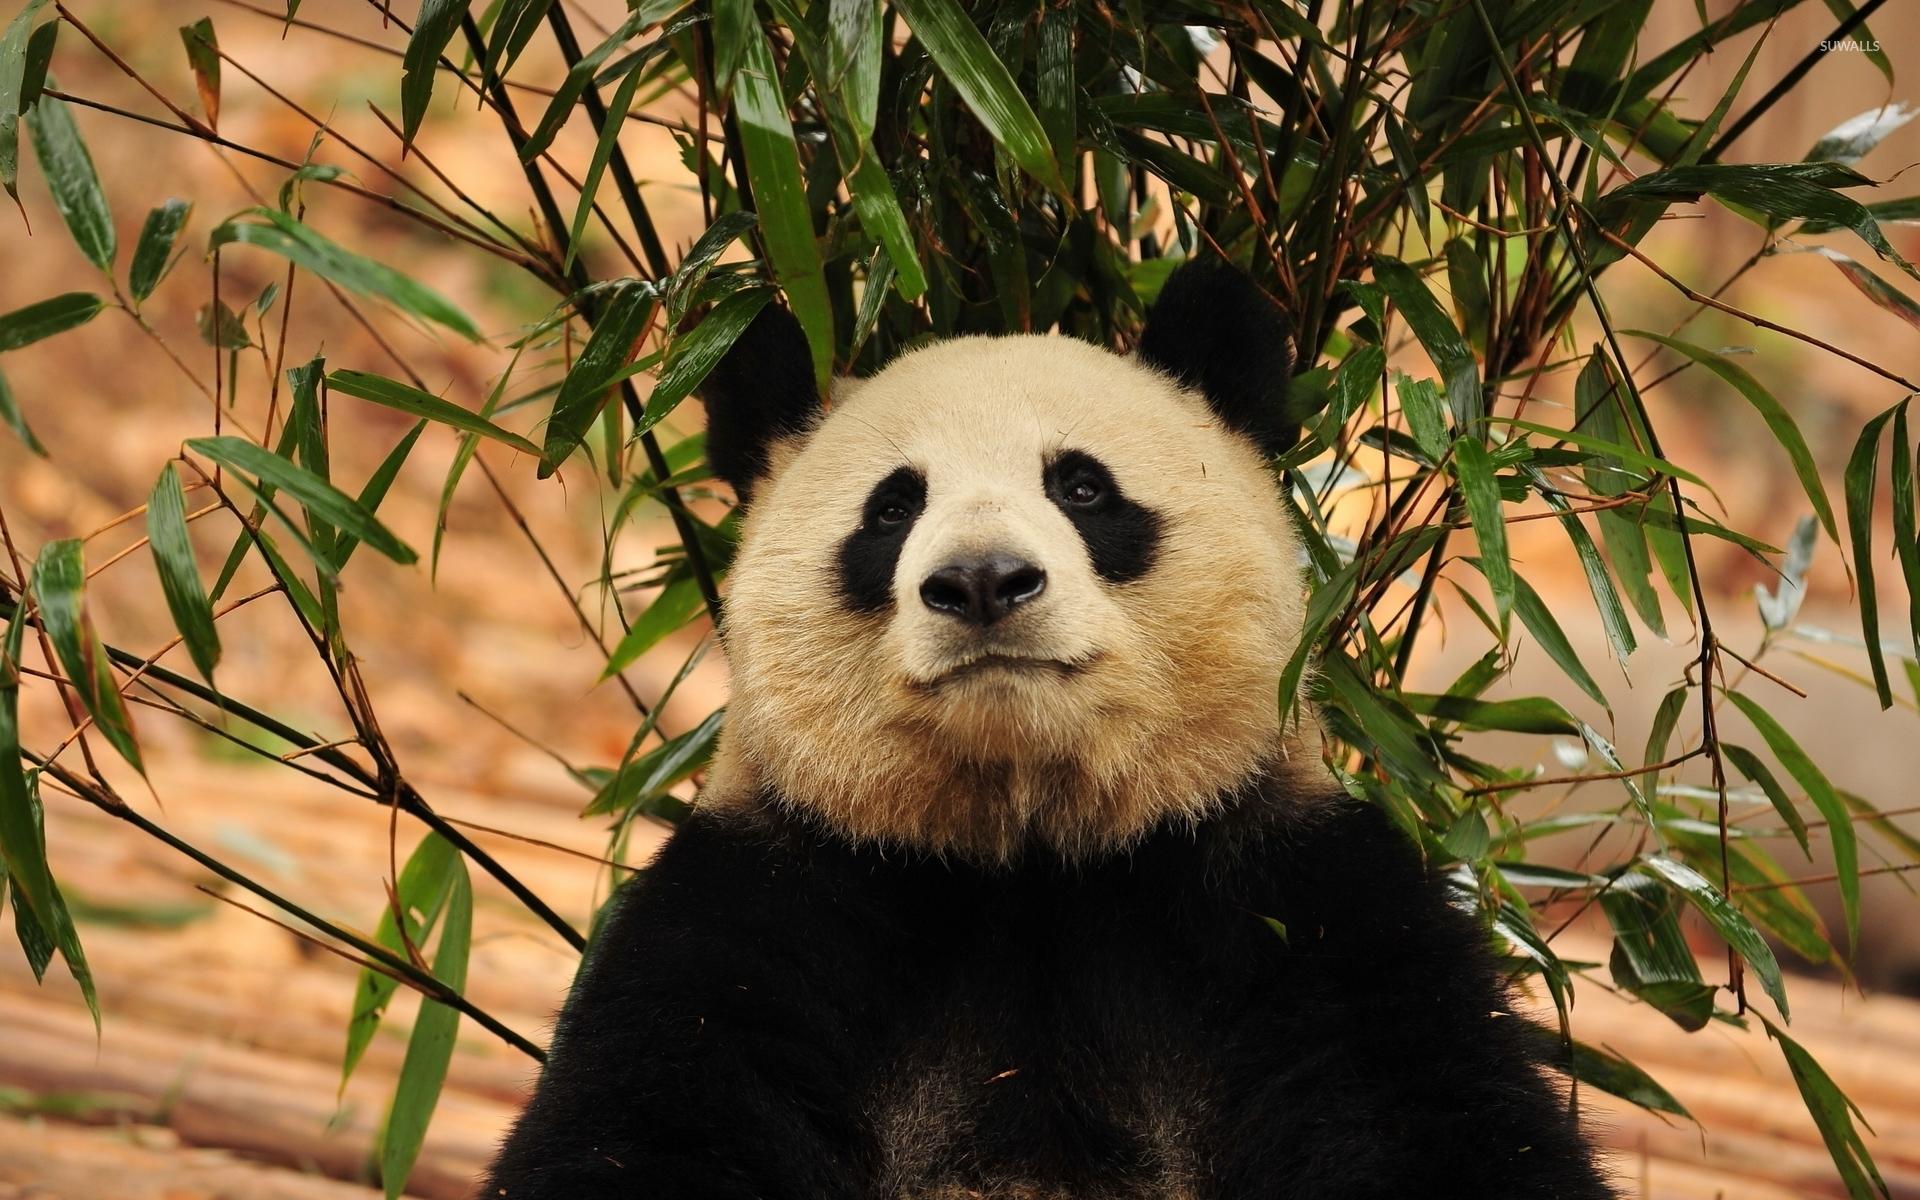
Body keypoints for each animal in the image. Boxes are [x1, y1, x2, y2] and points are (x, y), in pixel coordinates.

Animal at [483, 259, 1614, 1199]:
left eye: (1081, 486)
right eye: (891, 509)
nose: (983, 581)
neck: (1026, 852)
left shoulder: (1291, 907)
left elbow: (1438, 1119)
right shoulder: (767, 908)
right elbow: (641, 1127)